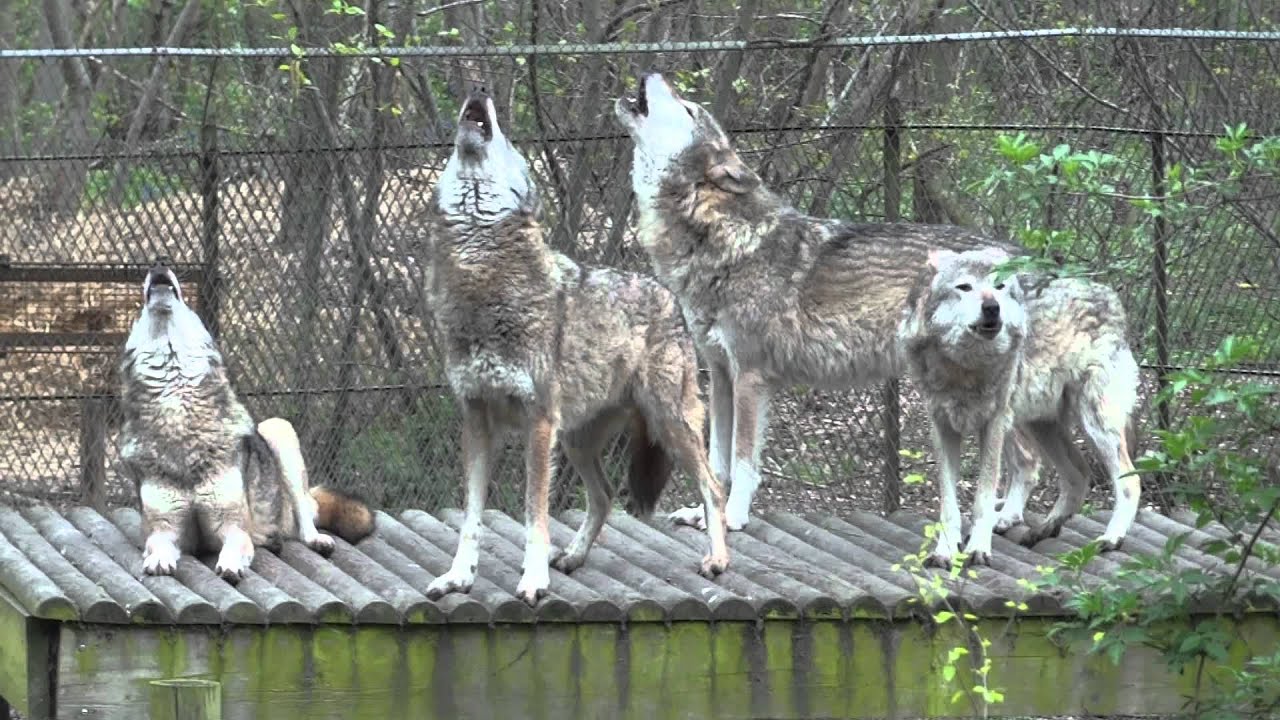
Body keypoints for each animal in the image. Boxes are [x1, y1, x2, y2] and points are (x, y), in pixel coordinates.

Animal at [118, 264, 375, 582]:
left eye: (189, 307)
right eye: (140, 312)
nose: (158, 264)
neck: (180, 414)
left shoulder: (234, 526)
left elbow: (235, 545)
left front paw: (230, 565)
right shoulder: (165, 529)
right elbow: (158, 545)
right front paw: (159, 560)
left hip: (278, 429)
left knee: (305, 517)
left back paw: (313, 539)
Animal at [421, 86, 729, 606]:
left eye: (507, 140)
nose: (479, 87)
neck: (482, 278)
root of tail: (669, 296)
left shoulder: (538, 422)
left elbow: (533, 514)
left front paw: (532, 580)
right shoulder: (476, 420)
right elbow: (471, 516)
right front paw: (458, 577)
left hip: (669, 424)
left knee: (712, 488)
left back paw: (718, 560)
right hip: (577, 441)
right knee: (603, 497)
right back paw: (572, 557)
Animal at [613, 71, 1023, 537]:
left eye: (687, 108)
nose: (652, 74)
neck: (721, 239)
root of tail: (1024, 255)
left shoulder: (750, 378)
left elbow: (743, 460)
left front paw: (733, 518)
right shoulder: (720, 375)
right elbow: (717, 460)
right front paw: (704, 515)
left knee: (1026, 458)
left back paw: (1006, 517)